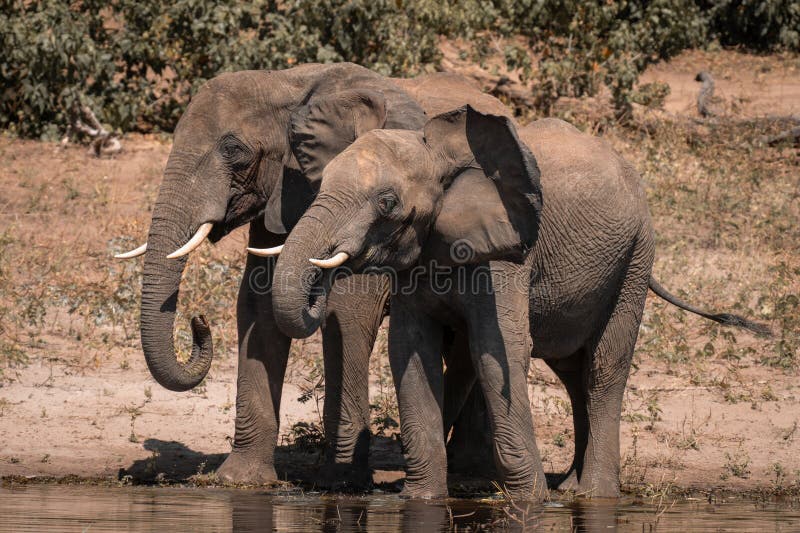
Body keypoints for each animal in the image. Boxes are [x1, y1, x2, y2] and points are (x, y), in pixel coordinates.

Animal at [115, 63, 522, 487]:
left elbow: (348, 311)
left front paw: (339, 484)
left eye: (233, 151)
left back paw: (470, 471)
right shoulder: (281, 196)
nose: (199, 321)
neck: (286, 83)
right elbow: (258, 305)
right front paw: (239, 481)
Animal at [263, 105, 768, 499]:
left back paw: (594, 495)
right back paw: (570, 487)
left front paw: (530, 501)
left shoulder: (507, 254)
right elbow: (410, 353)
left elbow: (496, 351)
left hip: (637, 256)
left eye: (387, 202)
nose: (323, 278)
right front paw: (421, 498)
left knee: (605, 369)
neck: (440, 153)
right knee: (572, 372)